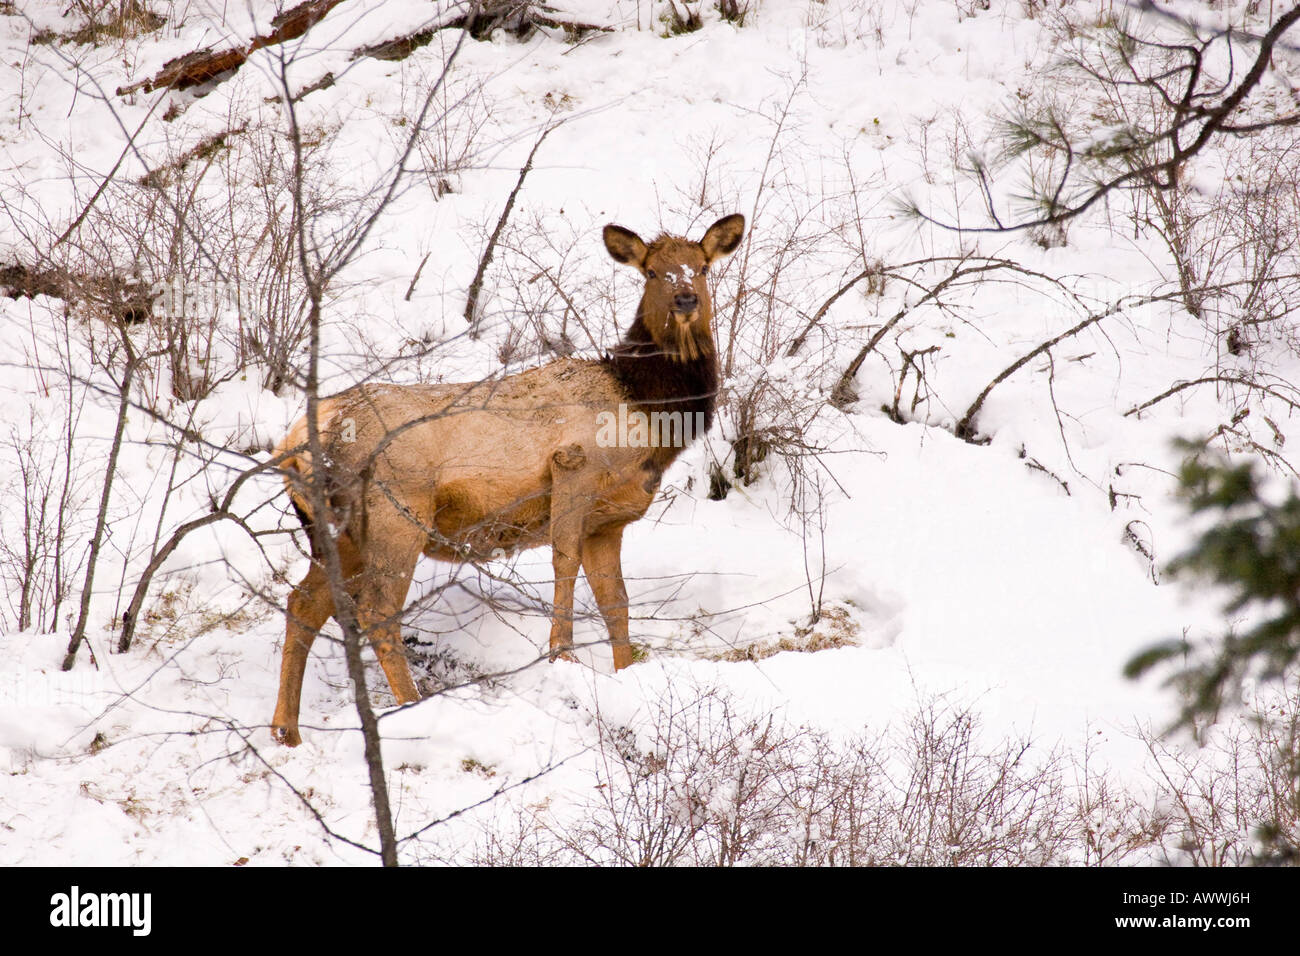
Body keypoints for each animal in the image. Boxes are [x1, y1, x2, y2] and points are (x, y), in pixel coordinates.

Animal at [269, 213, 745, 745]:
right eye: (651, 272)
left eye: (702, 267)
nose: (685, 299)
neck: (644, 412)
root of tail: (292, 445)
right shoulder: (572, 465)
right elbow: (564, 562)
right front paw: (562, 655)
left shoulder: (609, 521)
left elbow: (615, 601)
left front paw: (625, 672)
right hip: (396, 510)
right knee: (376, 609)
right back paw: (410, 705)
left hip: (340, 532)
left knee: (303, 603)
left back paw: (286, 731)